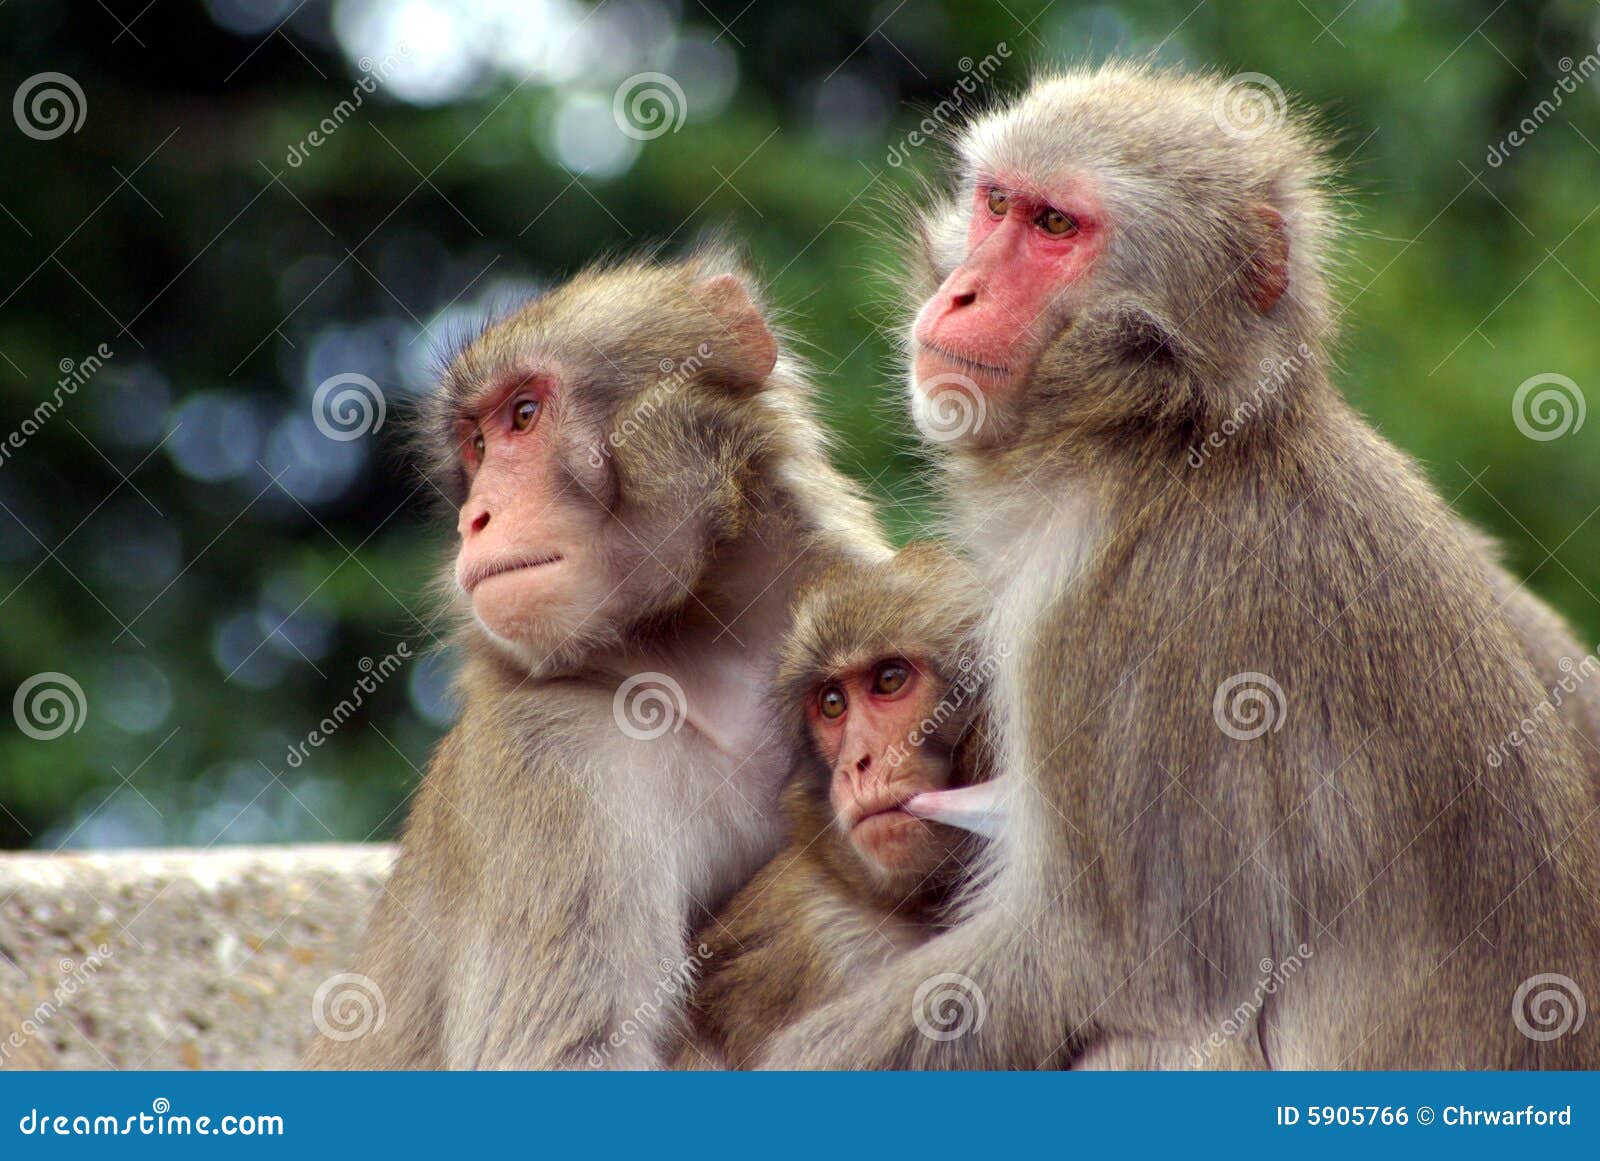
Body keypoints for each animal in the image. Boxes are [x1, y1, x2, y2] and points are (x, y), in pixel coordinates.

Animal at [304, 252, 887, 1069]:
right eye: (476, 447)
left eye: (522, 415)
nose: (474, 517)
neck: (703, 641)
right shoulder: (552, 756)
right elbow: (571, 1053)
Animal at [760, 64, 1600, 1070]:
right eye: (996, 204)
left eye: (1055, 226)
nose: (960, 294)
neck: (1165, 441)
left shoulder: (1118, 619)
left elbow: (1113, 954)